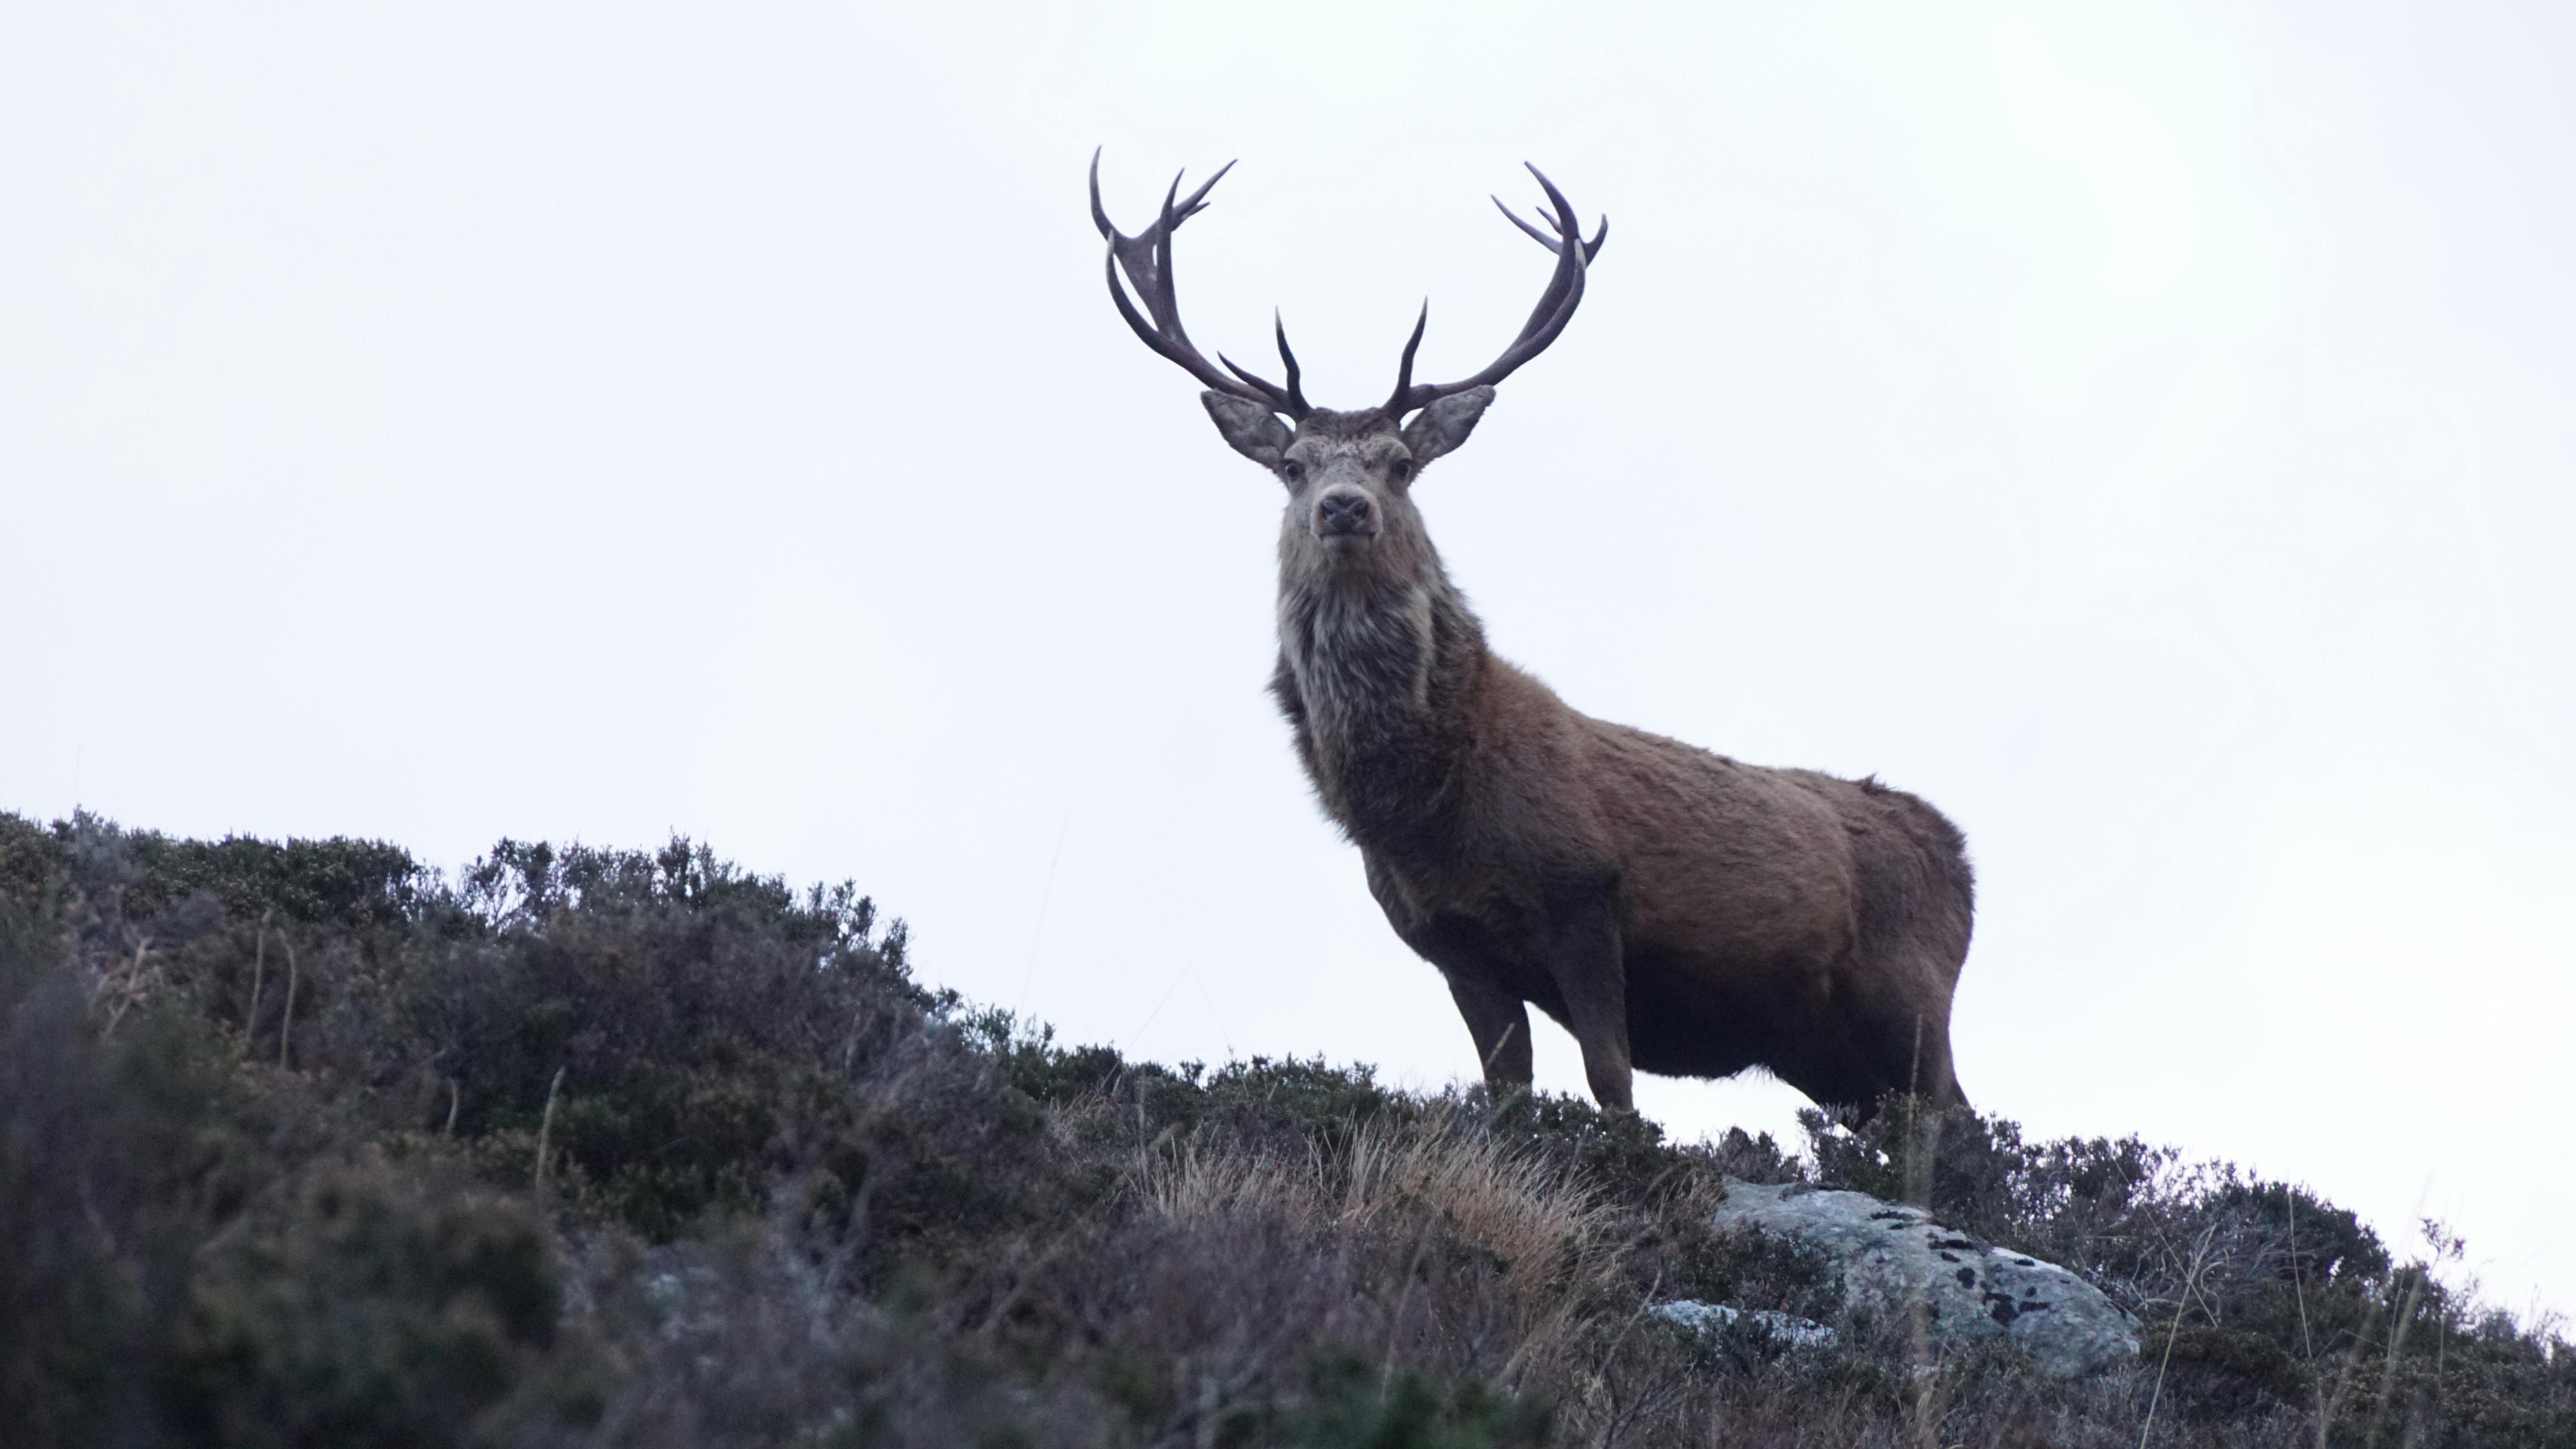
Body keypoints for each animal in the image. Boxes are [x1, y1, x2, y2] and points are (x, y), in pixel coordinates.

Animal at [1091, 153, 1974, 1120]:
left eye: (1401, 463)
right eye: (1293, 465)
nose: (1344, 508)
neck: (1424, 809)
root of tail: (1963, 853)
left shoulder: (1582, 892)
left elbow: (1611, 1081)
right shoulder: (1449, 941)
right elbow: (1505, 1088)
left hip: (1911, 992)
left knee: (1958, 1123)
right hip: (1826, 1051)